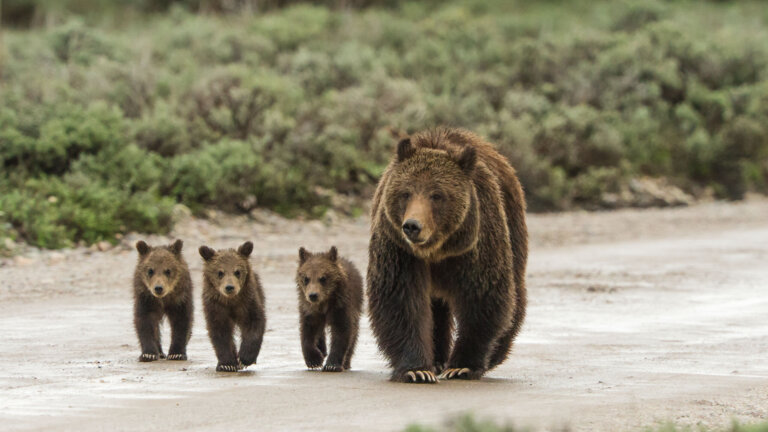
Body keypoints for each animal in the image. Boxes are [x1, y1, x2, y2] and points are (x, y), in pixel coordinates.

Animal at [199, 241, 266, 372]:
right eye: (220, 272)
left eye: (237, 271)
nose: (229, 287)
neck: (230, 301)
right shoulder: (216, 307)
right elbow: (219, 332)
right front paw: (227, 364)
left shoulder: (247, 302)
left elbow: (254, 323)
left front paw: (244, 358)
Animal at [367, 128, 528, 383]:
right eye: (406, 193)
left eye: (437, 195)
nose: (412, 226)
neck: (437, 249)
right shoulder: (399, 249)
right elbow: (400, 300)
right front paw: (417, 370)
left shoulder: (476, 243)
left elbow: (483, 297)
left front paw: (462, 366)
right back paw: (437, 359)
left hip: (512, 225)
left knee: (515, 292)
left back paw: (495, 353)